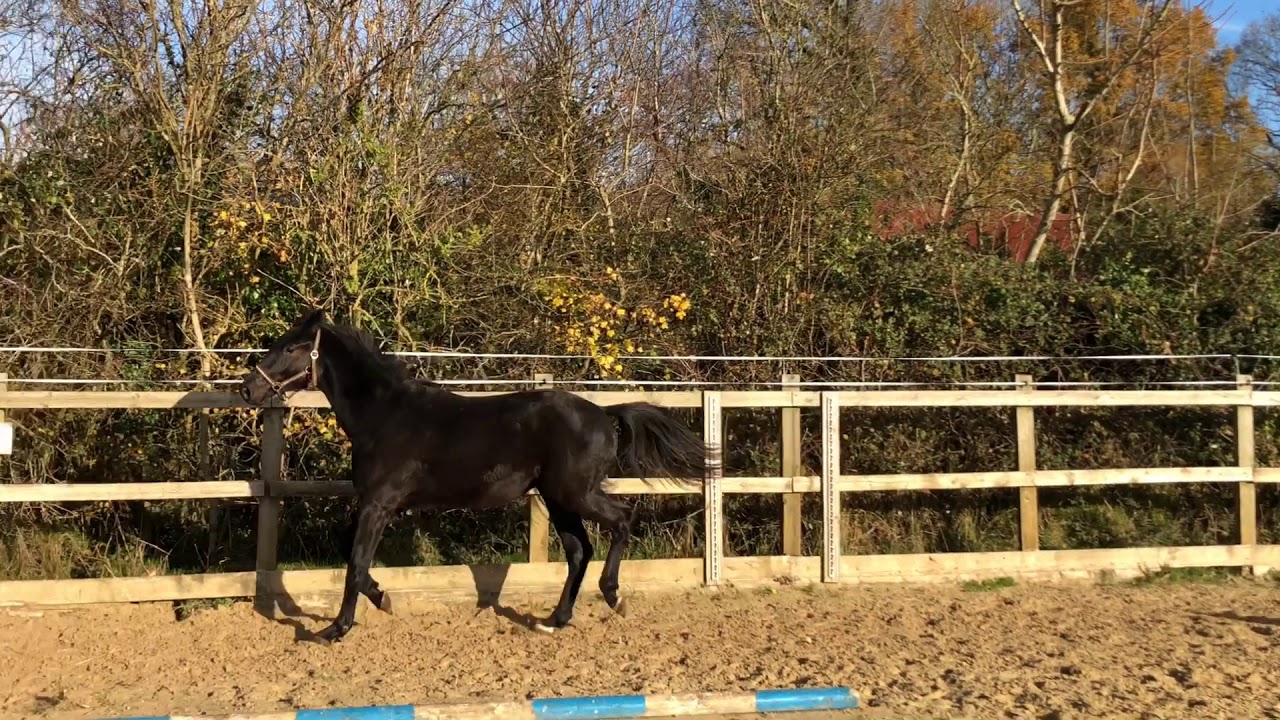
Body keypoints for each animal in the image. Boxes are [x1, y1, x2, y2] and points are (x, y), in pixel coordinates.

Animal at [238, 308, 708, 643]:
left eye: (291, 348)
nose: (248, 389)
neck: (383, 416)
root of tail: (604, 414)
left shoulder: (379, 504)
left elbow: (355, 563)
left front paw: (336, 629)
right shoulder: (373, 504)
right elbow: (350, 555)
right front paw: (383, 598)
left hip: (576, 493)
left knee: (623, 520)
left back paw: (614, 596)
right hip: (558, 498)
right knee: (579, 550)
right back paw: (555, 619)